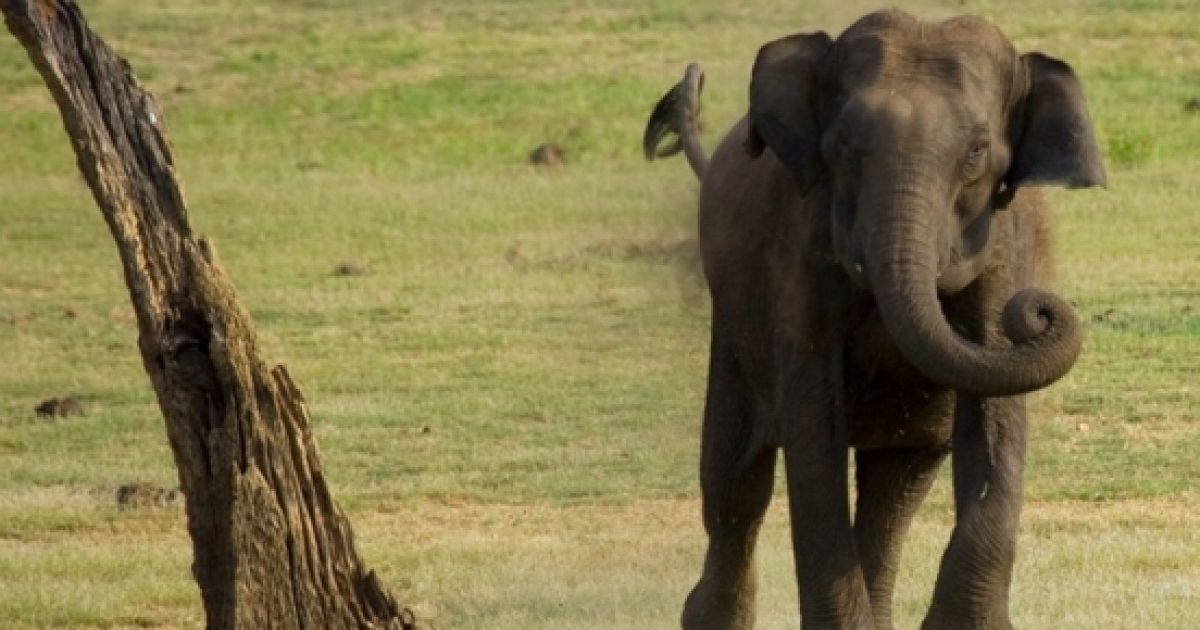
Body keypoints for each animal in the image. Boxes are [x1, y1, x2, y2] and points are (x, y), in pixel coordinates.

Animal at [643, 9, 1103, 630]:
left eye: (977, 154)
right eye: (841, 148)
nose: (1037, 311)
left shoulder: (1007, 244)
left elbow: (995, 421)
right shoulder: (799, 252)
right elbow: (815, 429)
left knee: (897, 485)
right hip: (733, 327)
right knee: (735, 482)